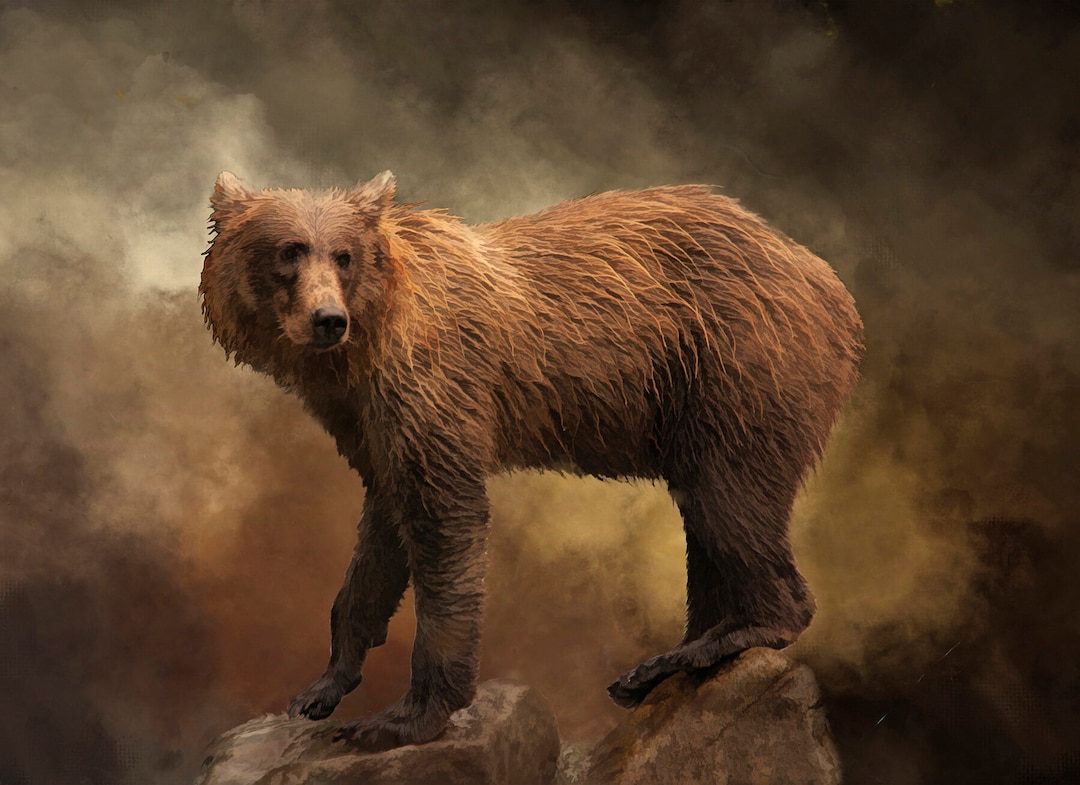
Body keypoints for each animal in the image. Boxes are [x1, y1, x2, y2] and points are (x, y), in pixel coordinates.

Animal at [200, 171, 863, 751]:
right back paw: (662, 662)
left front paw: (403, 716)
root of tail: (826, 277)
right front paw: (320, 688)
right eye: (289, 250)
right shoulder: (371, 426)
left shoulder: (436, 389)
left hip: (736, 365)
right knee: (707, 522)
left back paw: (702, 647)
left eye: (343, 255)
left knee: (730, 500)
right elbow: (378, 542)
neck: (367, 344)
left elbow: (448, 524)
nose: (328, 320)